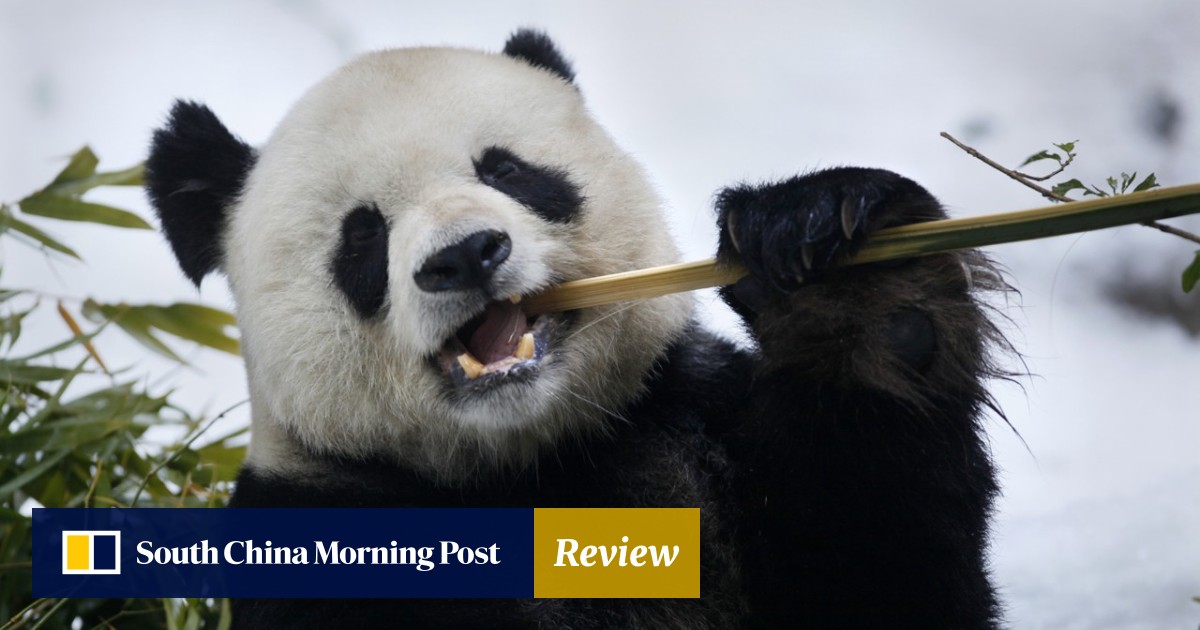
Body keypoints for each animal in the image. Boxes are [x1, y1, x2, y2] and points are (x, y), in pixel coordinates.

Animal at [146, 29, 1007, 629]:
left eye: (508, 171)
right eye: (361, 236)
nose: (465, 256)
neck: (528, 463)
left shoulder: (689, 427)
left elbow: (885, 566)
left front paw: (845, 273)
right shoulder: (321, 538)